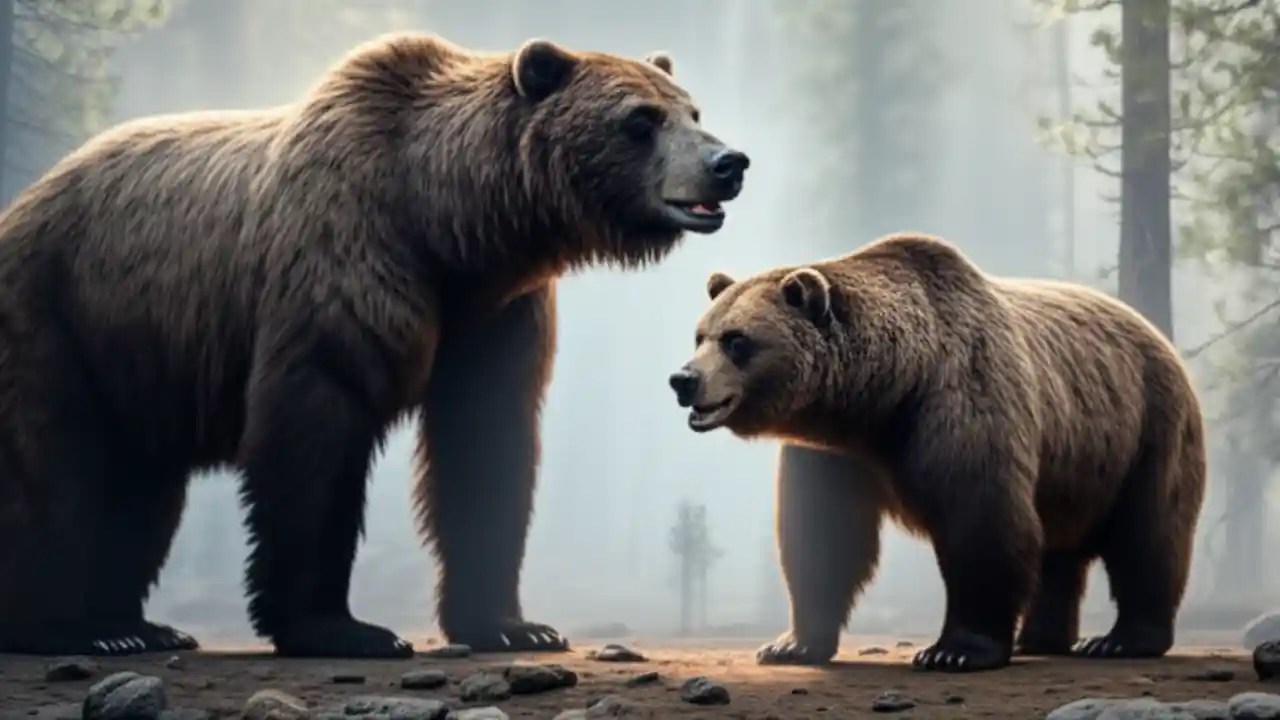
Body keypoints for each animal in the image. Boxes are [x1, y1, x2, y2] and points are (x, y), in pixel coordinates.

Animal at [0, 31, 749, 658]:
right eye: (640, 120)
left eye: (692, 109)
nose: (728, 162)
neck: (447, 223)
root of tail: (28, 197)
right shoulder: (340, 262)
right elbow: (317, 432)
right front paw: (342, 628)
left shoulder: (495, 314)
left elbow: (487, 447)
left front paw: (515, 626)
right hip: (58, 314)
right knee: (55, 467)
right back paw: (69, 628)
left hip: (137, 357)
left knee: (140, 489)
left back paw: (133, 626)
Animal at [667, 232, 1206, 673]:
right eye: (700, 334)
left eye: (737, 341)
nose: (683, 379)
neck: (882, 395)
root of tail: (1156, 333)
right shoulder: (830, 453)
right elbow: (823, 538)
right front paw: (789, 645)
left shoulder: (962, 405)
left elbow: (981, 521)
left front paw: (953, 651)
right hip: (1073, 463)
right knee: (1059, 552)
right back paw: (1041, 639)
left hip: (1147, 428)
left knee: (1148, 532)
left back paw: (1120, 640)